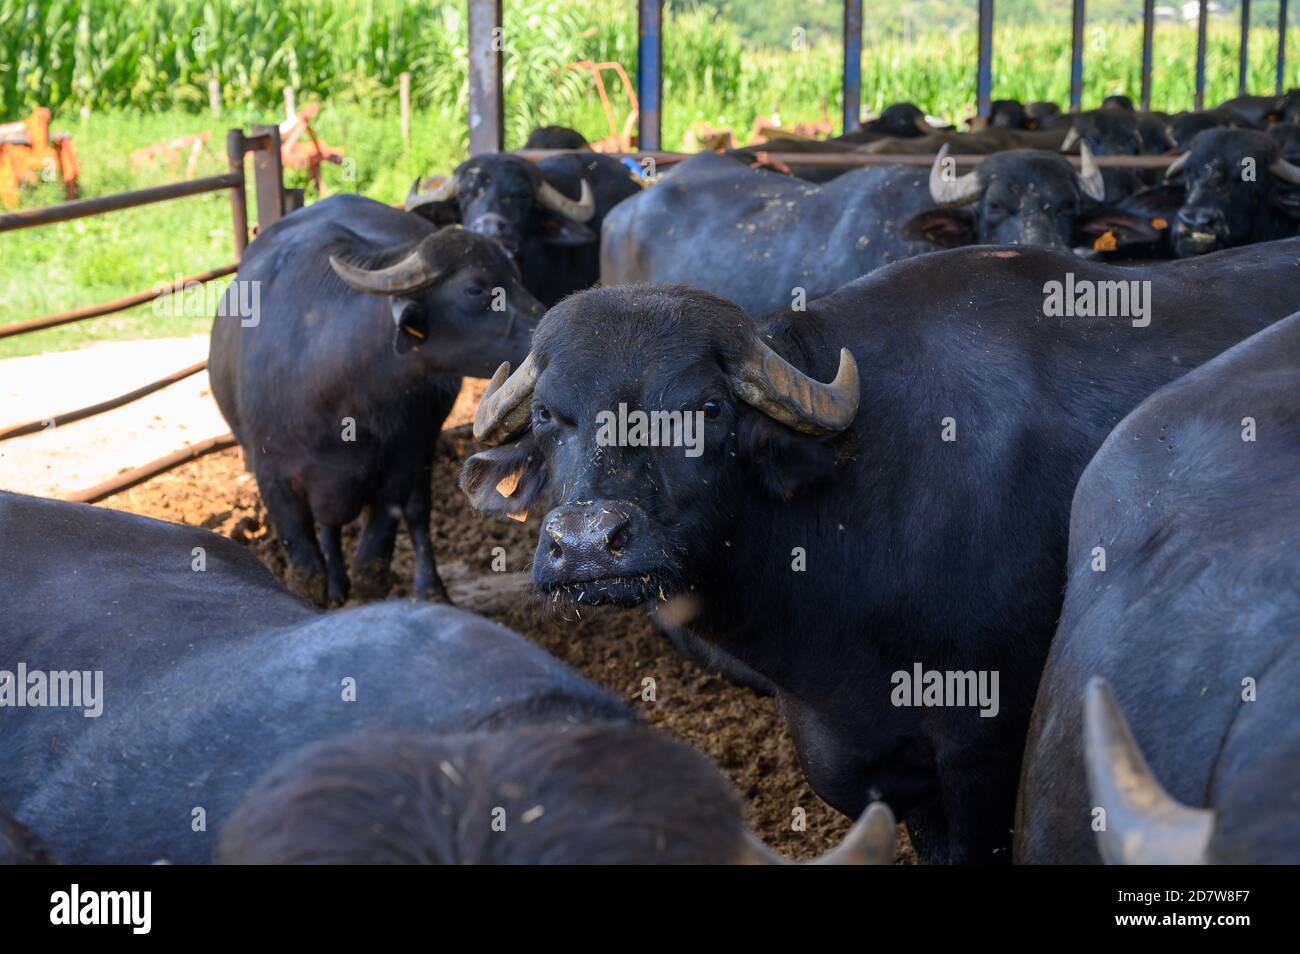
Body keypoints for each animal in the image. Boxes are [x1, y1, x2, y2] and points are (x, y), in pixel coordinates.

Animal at [209, 194, 542, 606]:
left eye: (516, 275)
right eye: (475, 289)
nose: (547, 321)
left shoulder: (397, 470)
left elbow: (372, 566)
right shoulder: (273, 479)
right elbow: (307, 574)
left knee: (418, 513)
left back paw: (431, 589)